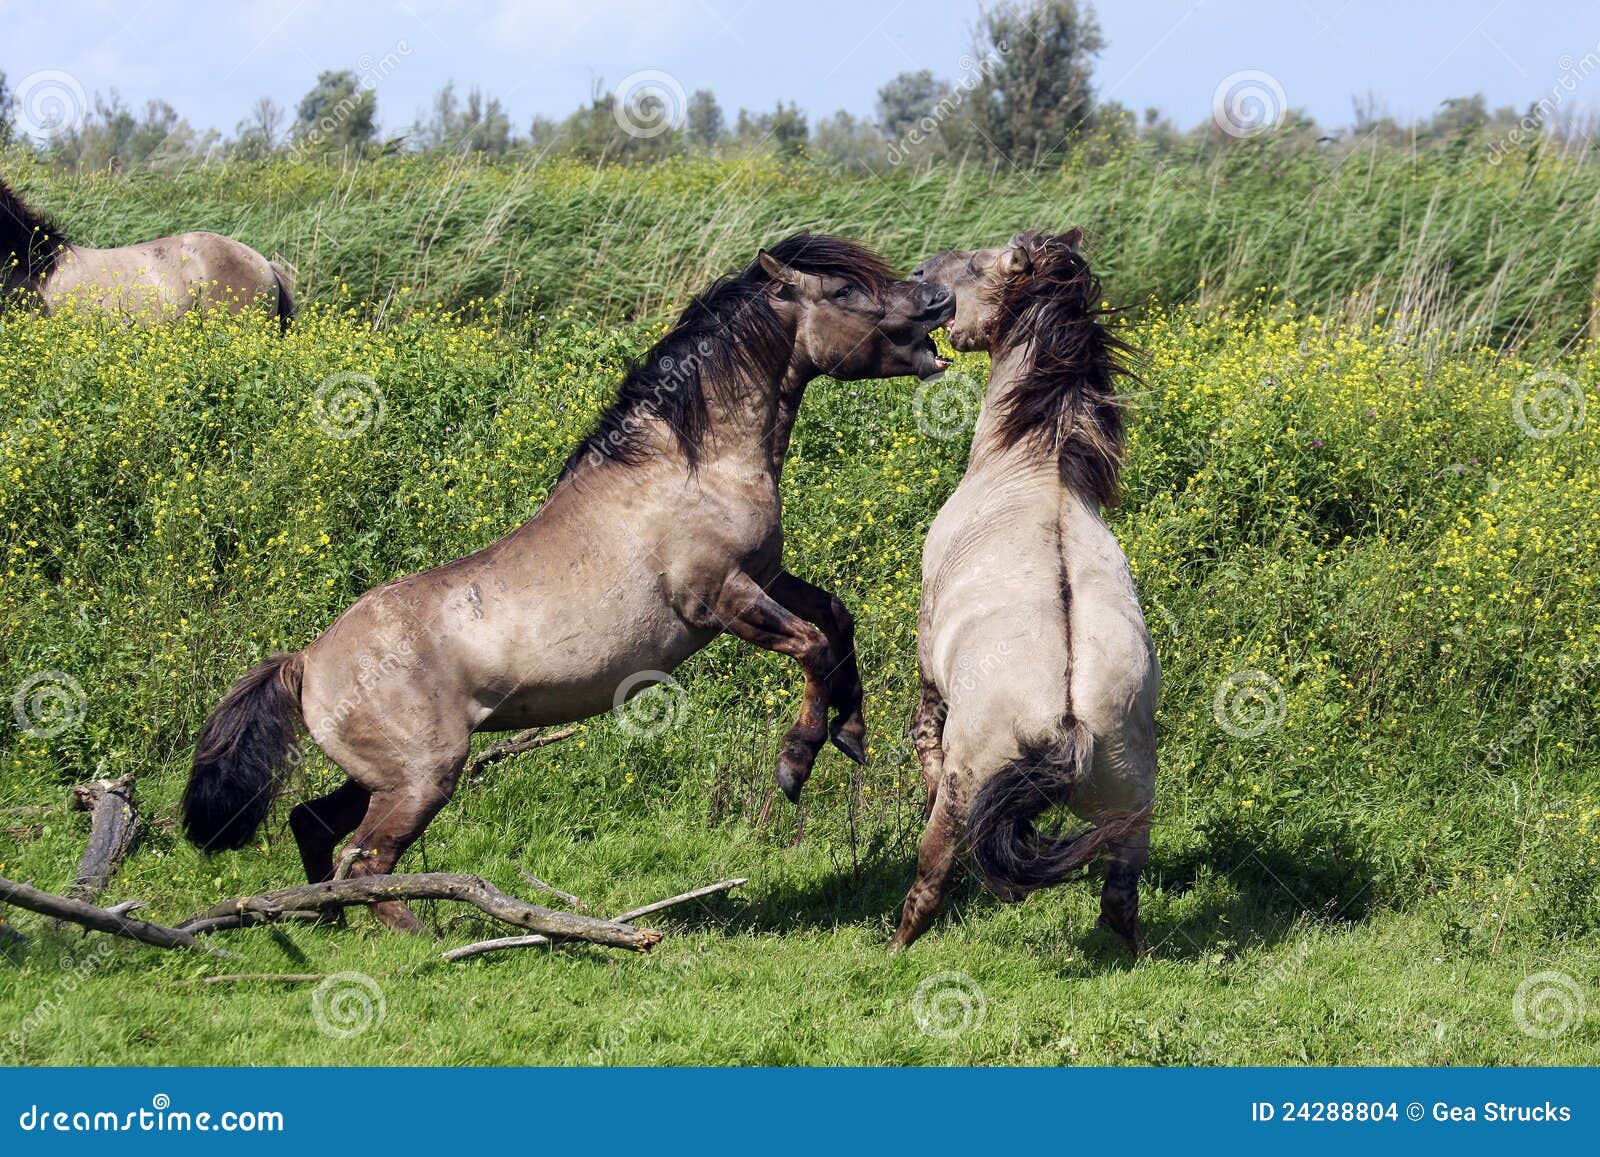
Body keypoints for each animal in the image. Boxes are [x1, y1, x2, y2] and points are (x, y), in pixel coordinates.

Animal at [182, 232, 955, 932]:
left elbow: (838, 619)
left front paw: (851, 732)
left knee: (313, 825)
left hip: (383, 776)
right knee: (367, 860)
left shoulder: (768, 575)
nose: (938, 299)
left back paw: (325, 919)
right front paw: (797, 762)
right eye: (846, 291)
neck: (692, 464)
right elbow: (812, 648)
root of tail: (307, 662)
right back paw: (421, 934)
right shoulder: (720, 597)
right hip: (422, 777)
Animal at [894, 229, 1157, 954]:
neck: (1036, 466)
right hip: (1134, 807)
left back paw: (893, 948)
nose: (919, 272)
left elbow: (923, 734)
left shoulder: (927, 653)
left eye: (978, 265)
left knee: (931, 877)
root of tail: (1069, 722)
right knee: (1119, 898)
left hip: (967, 797)